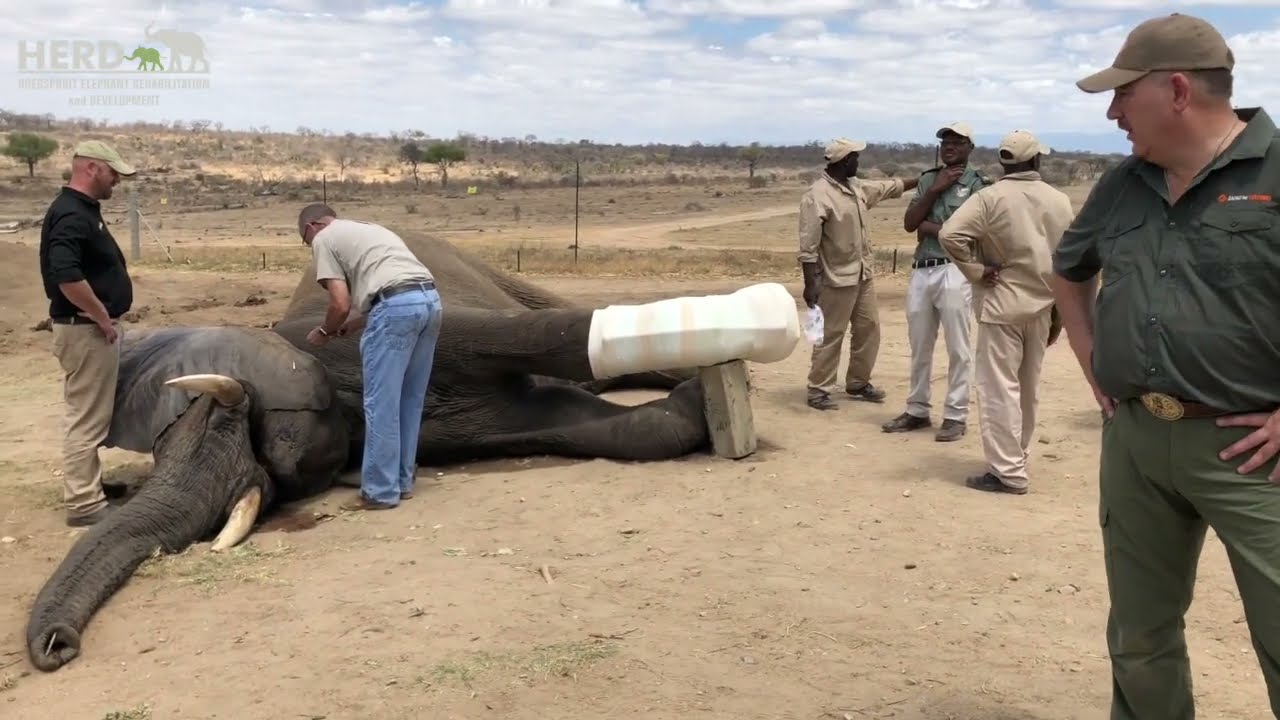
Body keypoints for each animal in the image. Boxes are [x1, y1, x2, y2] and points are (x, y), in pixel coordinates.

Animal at [25, 227, 801, 673]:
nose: (56, 648)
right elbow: (575, 421)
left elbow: (549, 339)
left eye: (232, 417)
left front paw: (713, 378)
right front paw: (696, 403)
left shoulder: (403, 327)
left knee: (543, 309)